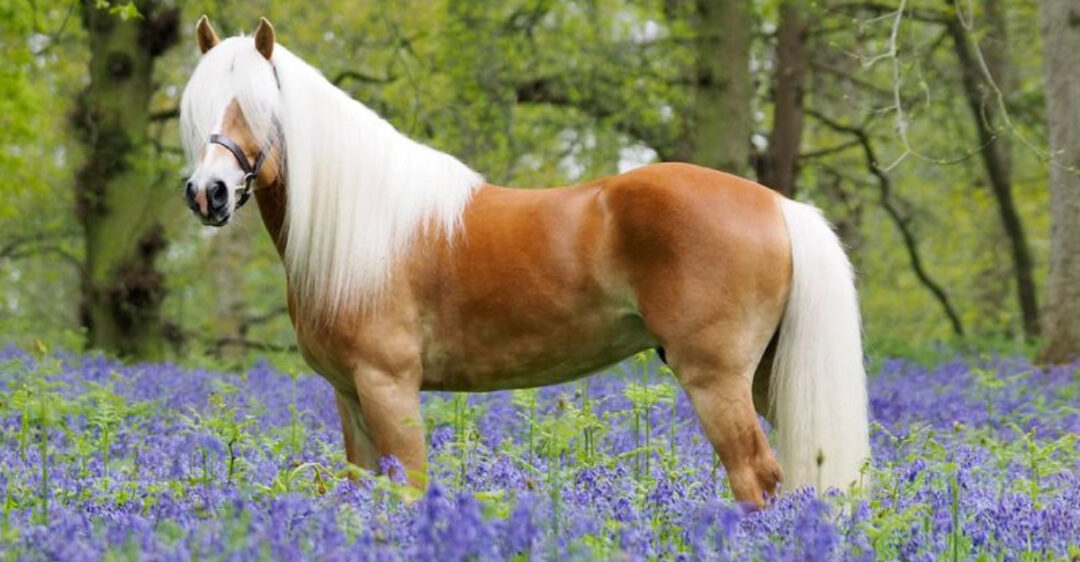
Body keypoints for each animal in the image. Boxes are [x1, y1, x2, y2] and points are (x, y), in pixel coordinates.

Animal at [179, 16, 870, 507]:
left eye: (258, 107)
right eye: (199, 109)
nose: (208, 194)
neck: (362, 224)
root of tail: (778, 204)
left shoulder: (387, 385)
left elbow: (409, 491)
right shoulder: (349, 394)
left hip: (717, 380)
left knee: (755, 478)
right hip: (765, 377)